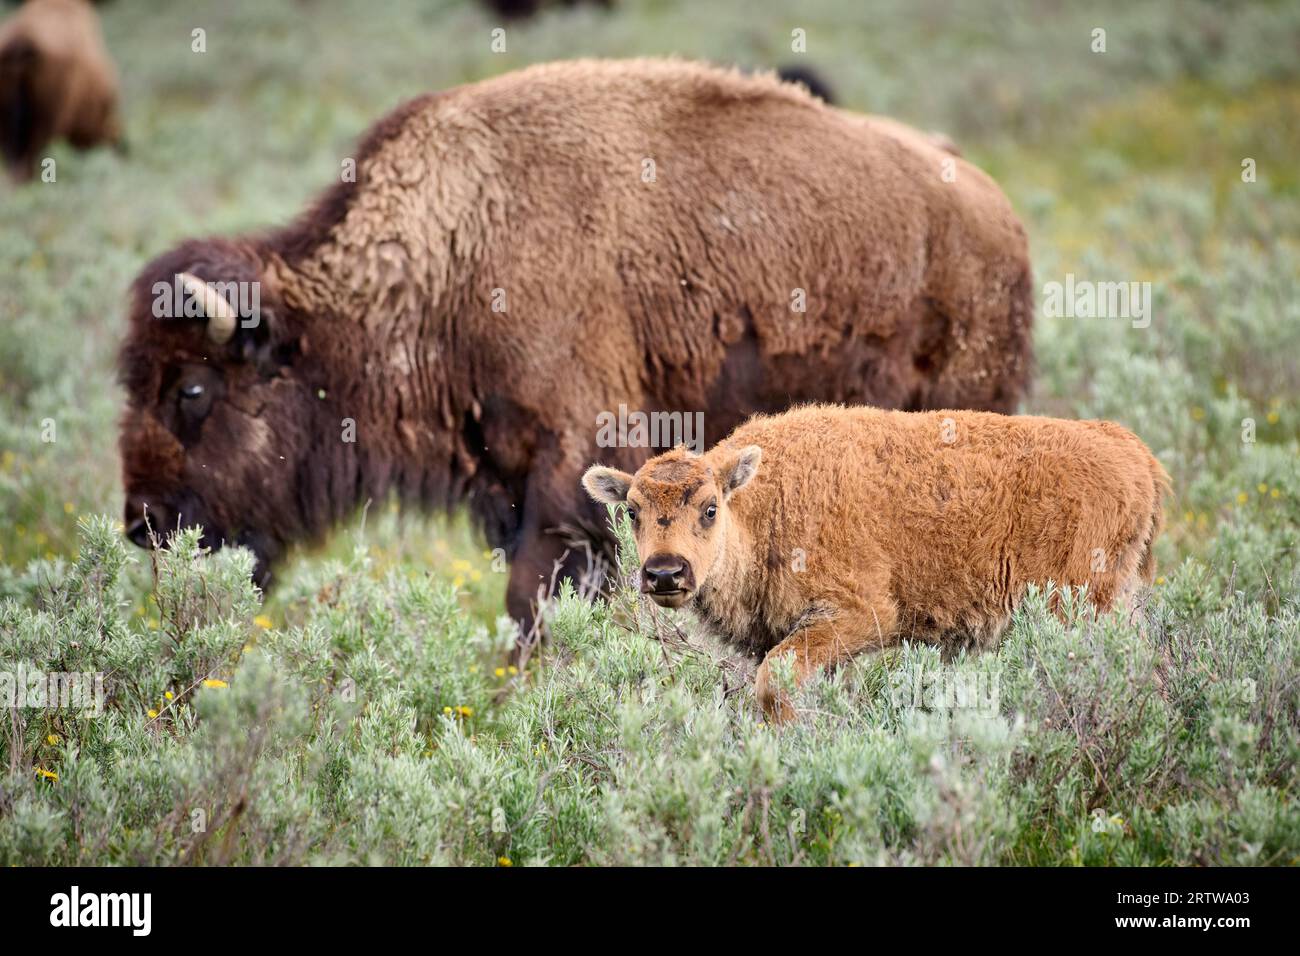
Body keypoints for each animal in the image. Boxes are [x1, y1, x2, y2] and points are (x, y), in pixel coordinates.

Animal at [117, 58, 1034, 641]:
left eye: (192, 389)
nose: (142, 526)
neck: (453, 249)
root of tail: (994, 208)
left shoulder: (572, 470)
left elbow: (539, 599)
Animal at [582, 403, 1168, 721]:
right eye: (632, 511)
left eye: (708, 508)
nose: (665, 573)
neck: (760, 505)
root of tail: (1133, 452)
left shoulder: (859, 617)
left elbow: (774, 683)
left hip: (1081, 608)